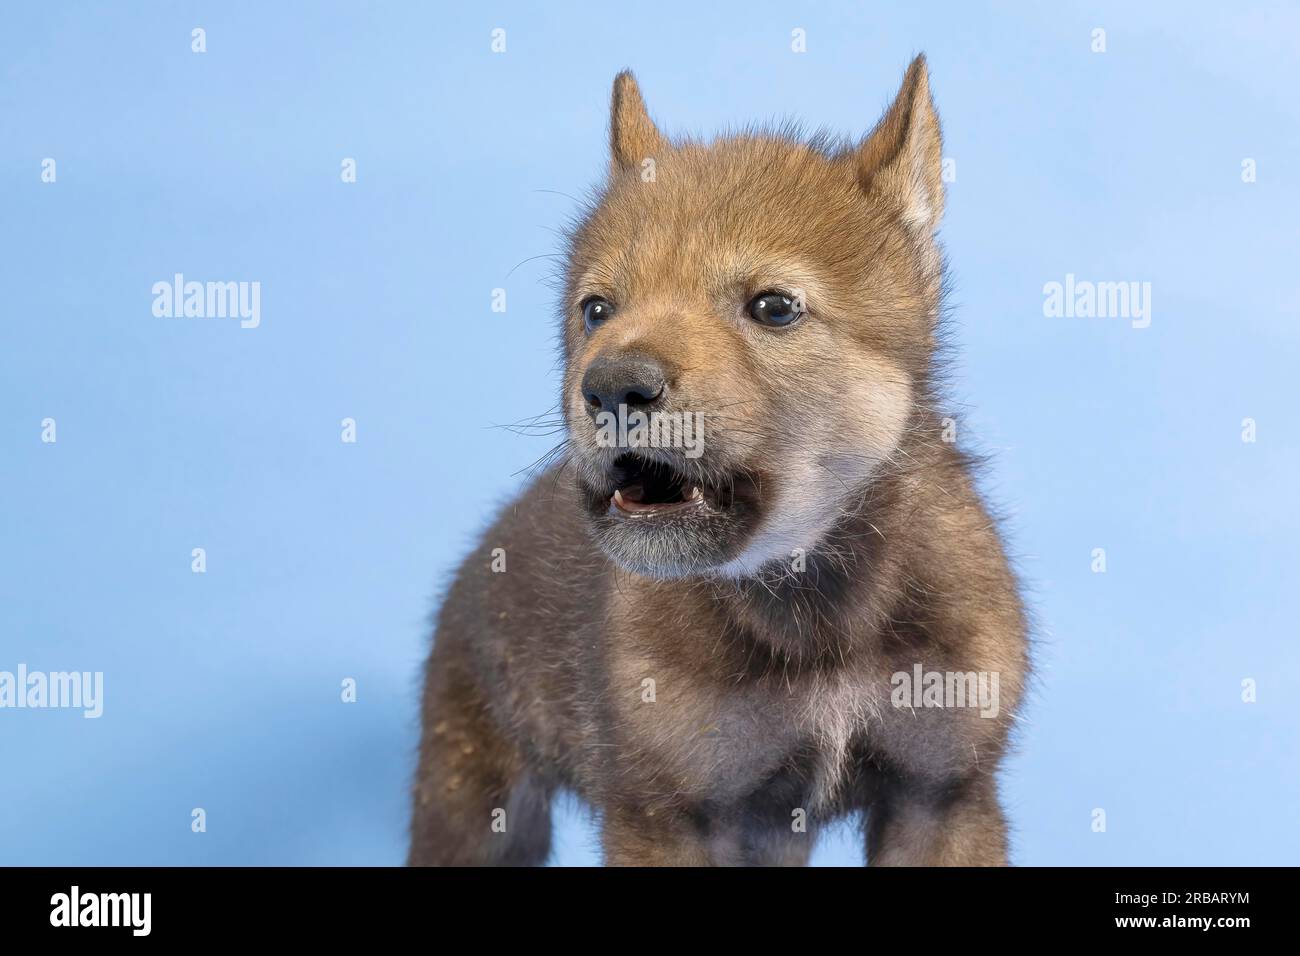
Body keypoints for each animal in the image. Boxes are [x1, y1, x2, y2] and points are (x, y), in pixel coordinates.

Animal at [409, 55, 1029, 866]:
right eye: (596, 310)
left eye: (775, 307)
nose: (611, 387)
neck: (812, 605)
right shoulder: (663, 816)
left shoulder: (942, 797)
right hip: (474, 802)